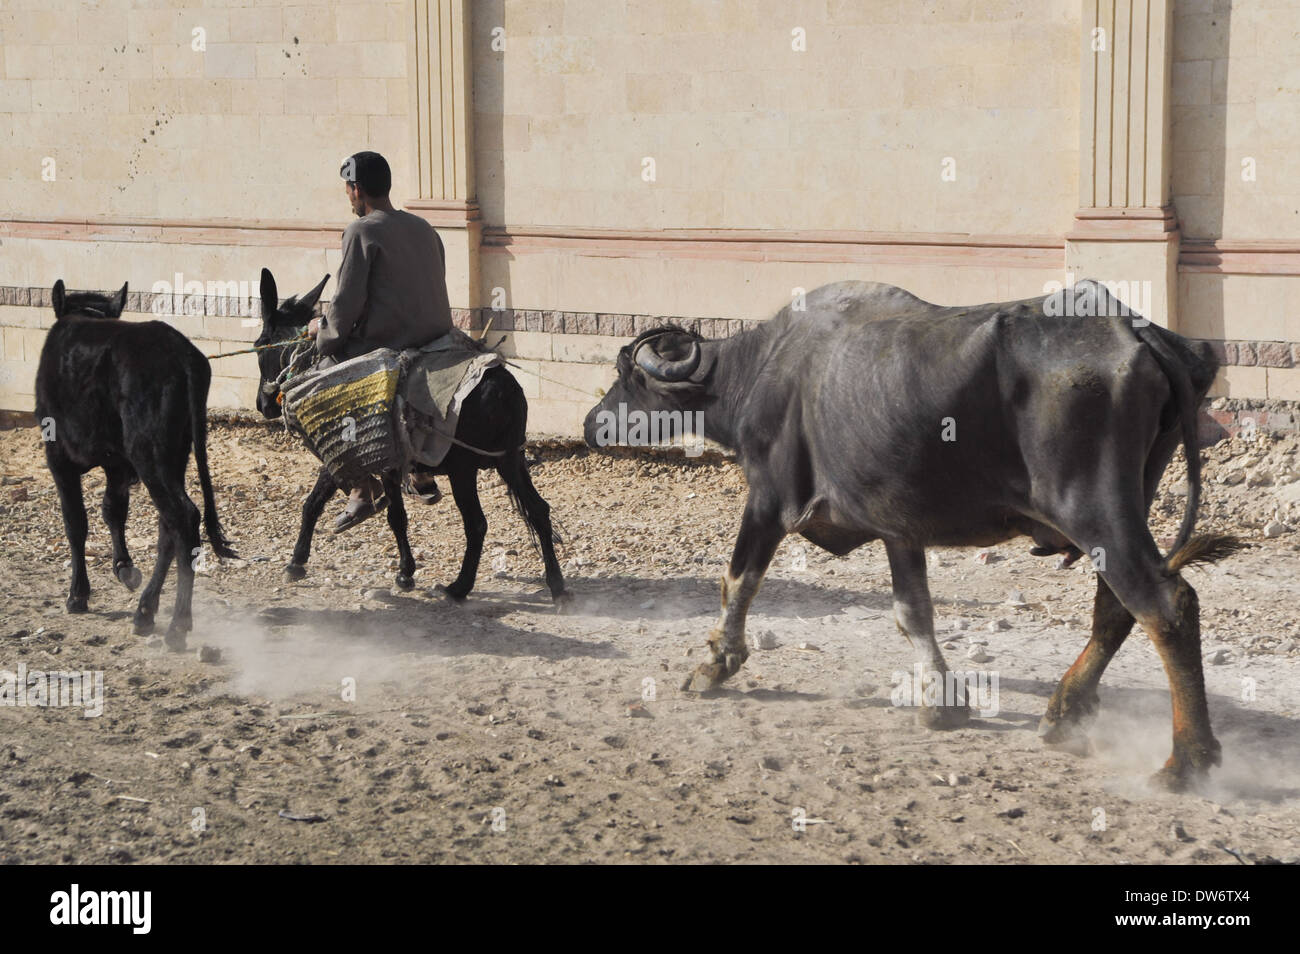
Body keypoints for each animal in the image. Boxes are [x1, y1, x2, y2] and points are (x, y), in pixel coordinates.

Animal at [34, 280, 238, 650]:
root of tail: (180, 352)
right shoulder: (117, 464)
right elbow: (113, 510)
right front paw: (124, 568)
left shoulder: (58, 456)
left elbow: (75, 522)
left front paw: (77, 595)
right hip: (173, 455)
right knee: (168, 527)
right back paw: (145, 612)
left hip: (149, 453)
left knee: (183, 517)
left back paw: (176, 625)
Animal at [253, 268, 568, 606]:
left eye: (260, 344)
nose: (263, 404)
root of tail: (503, 389)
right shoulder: (387, 464)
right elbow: (388, 513)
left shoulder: (347, 453)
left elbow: (328, 504)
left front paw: (298, 562)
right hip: (510, 460)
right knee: (539, 510)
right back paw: (557, 585)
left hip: (464, 469)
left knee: (477, 523)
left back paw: (458, 587)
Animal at [584, 280, 1243, 791]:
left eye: (624, 376)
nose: (591, 423)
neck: (765, 371)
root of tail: (1135, 332)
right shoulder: (896, 526)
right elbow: (914, 611)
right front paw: (942, 701)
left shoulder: (768, 501)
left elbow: (737, 580)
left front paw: (715, 664)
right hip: (1126, 506)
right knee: (1117, 609)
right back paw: (1064, 712)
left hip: (1093, 508)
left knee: (1165, 605)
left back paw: (1186, 761)